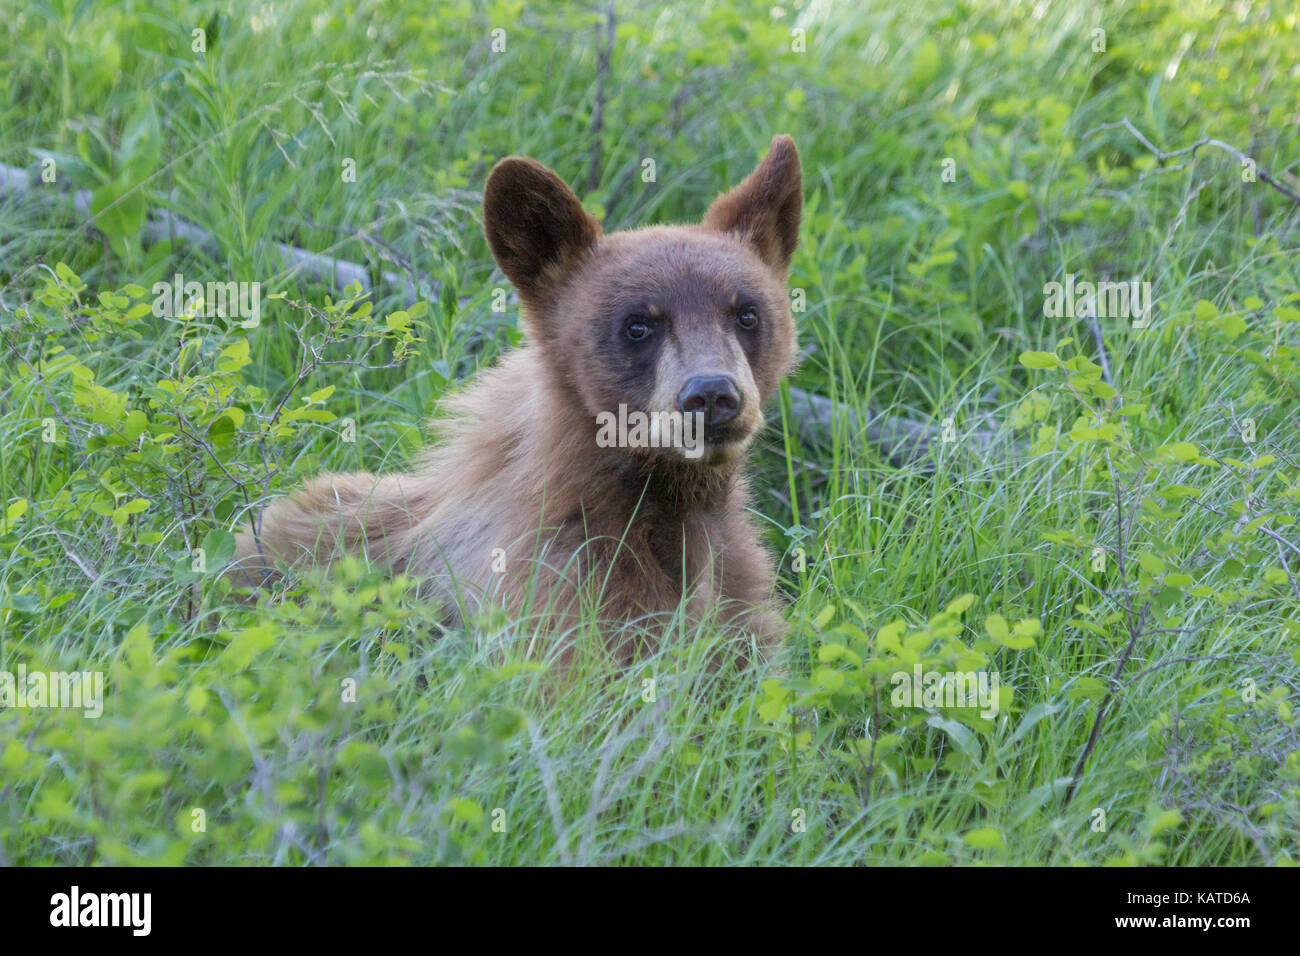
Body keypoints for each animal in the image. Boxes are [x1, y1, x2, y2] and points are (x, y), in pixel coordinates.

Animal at [232, 134, 803, 667]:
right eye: (638, 325)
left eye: (746, 313)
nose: (712, 394)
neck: (677, 507)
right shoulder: (564, 589)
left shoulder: (738, 591)